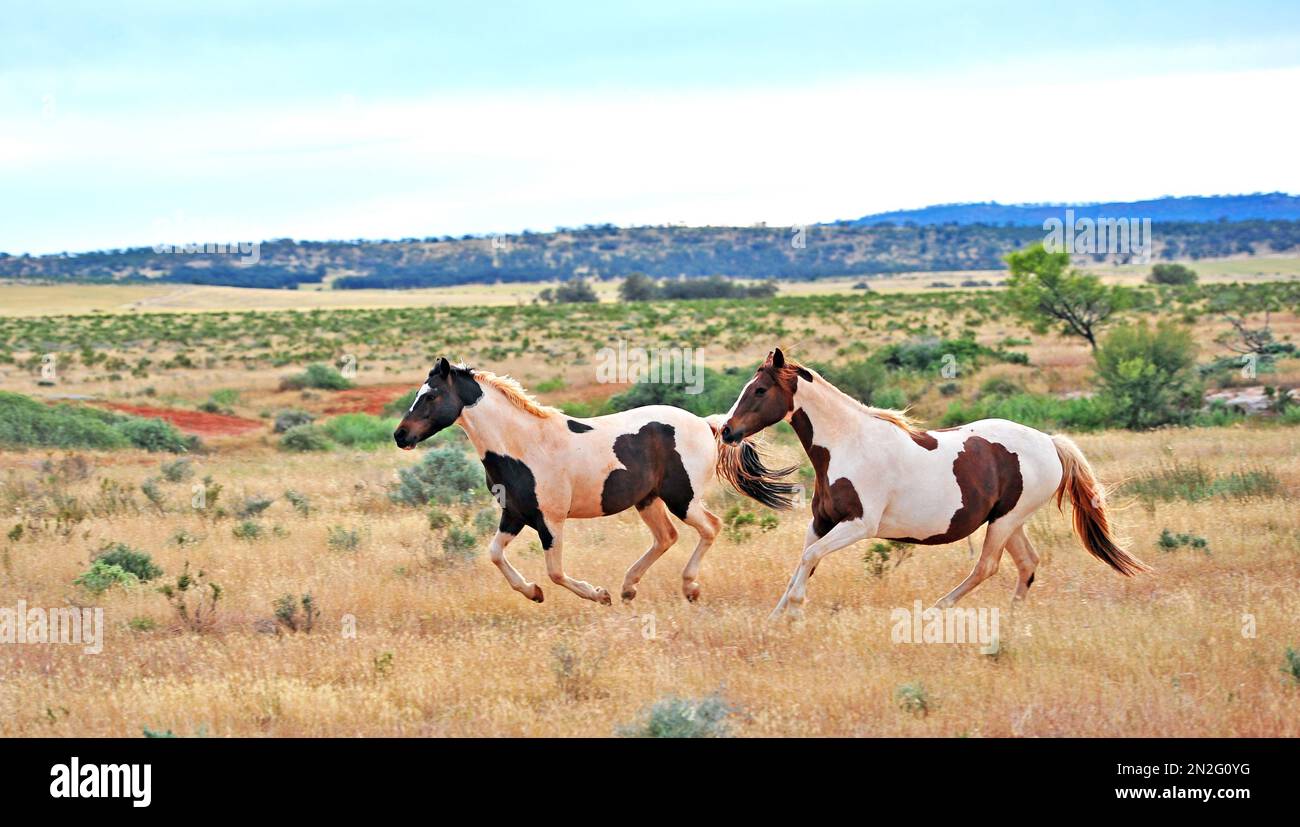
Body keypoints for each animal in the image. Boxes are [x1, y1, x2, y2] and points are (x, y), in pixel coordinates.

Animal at [393, 358, 796, 604]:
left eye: (431, 395)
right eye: (417, 394)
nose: (400, 435)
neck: (522, 445)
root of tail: (707, 423)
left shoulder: (551, 521)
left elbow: (556, 572)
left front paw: (598, 594)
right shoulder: (515, 516)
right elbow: (495, 554)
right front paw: (533, 592)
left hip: (683, 498)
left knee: (710, 527)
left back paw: (689, 587)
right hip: (647, 500)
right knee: (666, 537)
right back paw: (629, 588)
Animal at [720, 348, 1150, 617]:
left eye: (759, 389)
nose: (726, 430)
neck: (848, 443)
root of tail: (1048, 441)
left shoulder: (859, 525)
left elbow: (809, 559)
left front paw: (794, 612)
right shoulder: (822, 522)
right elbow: (804, 560)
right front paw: (777, 617)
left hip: (1005, 521)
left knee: (987, 567)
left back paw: (936, 610)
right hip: (1010, 522)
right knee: (1027, 564)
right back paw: (1011, 619)